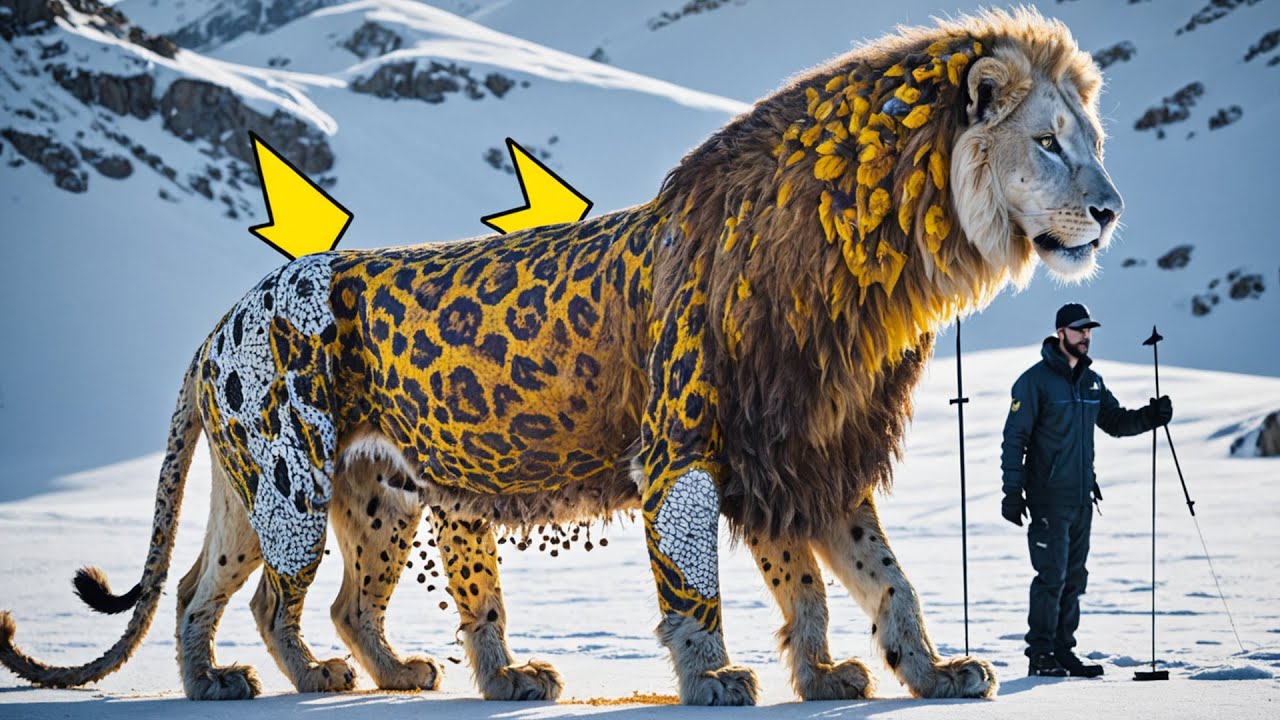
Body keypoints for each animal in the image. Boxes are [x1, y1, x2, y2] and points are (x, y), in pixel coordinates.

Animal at [0, 8, 1121, 705]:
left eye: (1092, 138)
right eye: (1049, 141)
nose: (1110, 209)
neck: (880, 257)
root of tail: (216, 325)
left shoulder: (800, 451)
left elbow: (868, 579)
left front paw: (905, 675)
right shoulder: (686, 449)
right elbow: (701, 585)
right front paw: (714, 680)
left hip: (351, 495)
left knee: (228, 595)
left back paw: (292, 679)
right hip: (293, 483)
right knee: (277, 601)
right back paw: (312, 680)